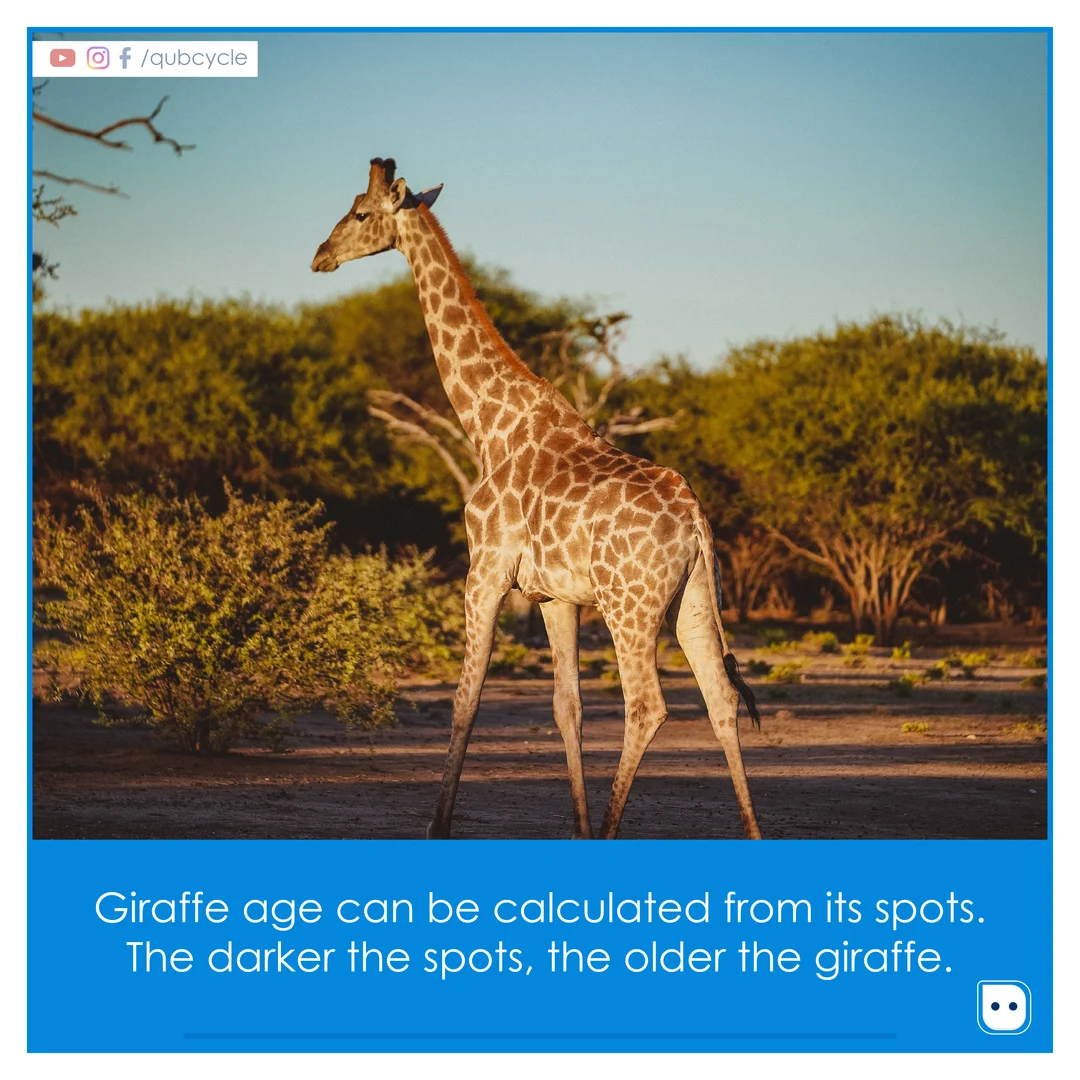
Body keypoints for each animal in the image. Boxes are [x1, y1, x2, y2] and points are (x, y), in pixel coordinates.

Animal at [312, 158, 763, 840]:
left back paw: (613, 831)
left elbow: (466, 701)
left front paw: (438, 825)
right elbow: (566, 706)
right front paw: (575, 826)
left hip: (629, 606)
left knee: (648, 706)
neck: (488, 425)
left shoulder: (484, 571)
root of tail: (694, 521)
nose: (319, 256)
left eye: (360, 213)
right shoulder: (554, 597)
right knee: (721, 697)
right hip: (690, 600)